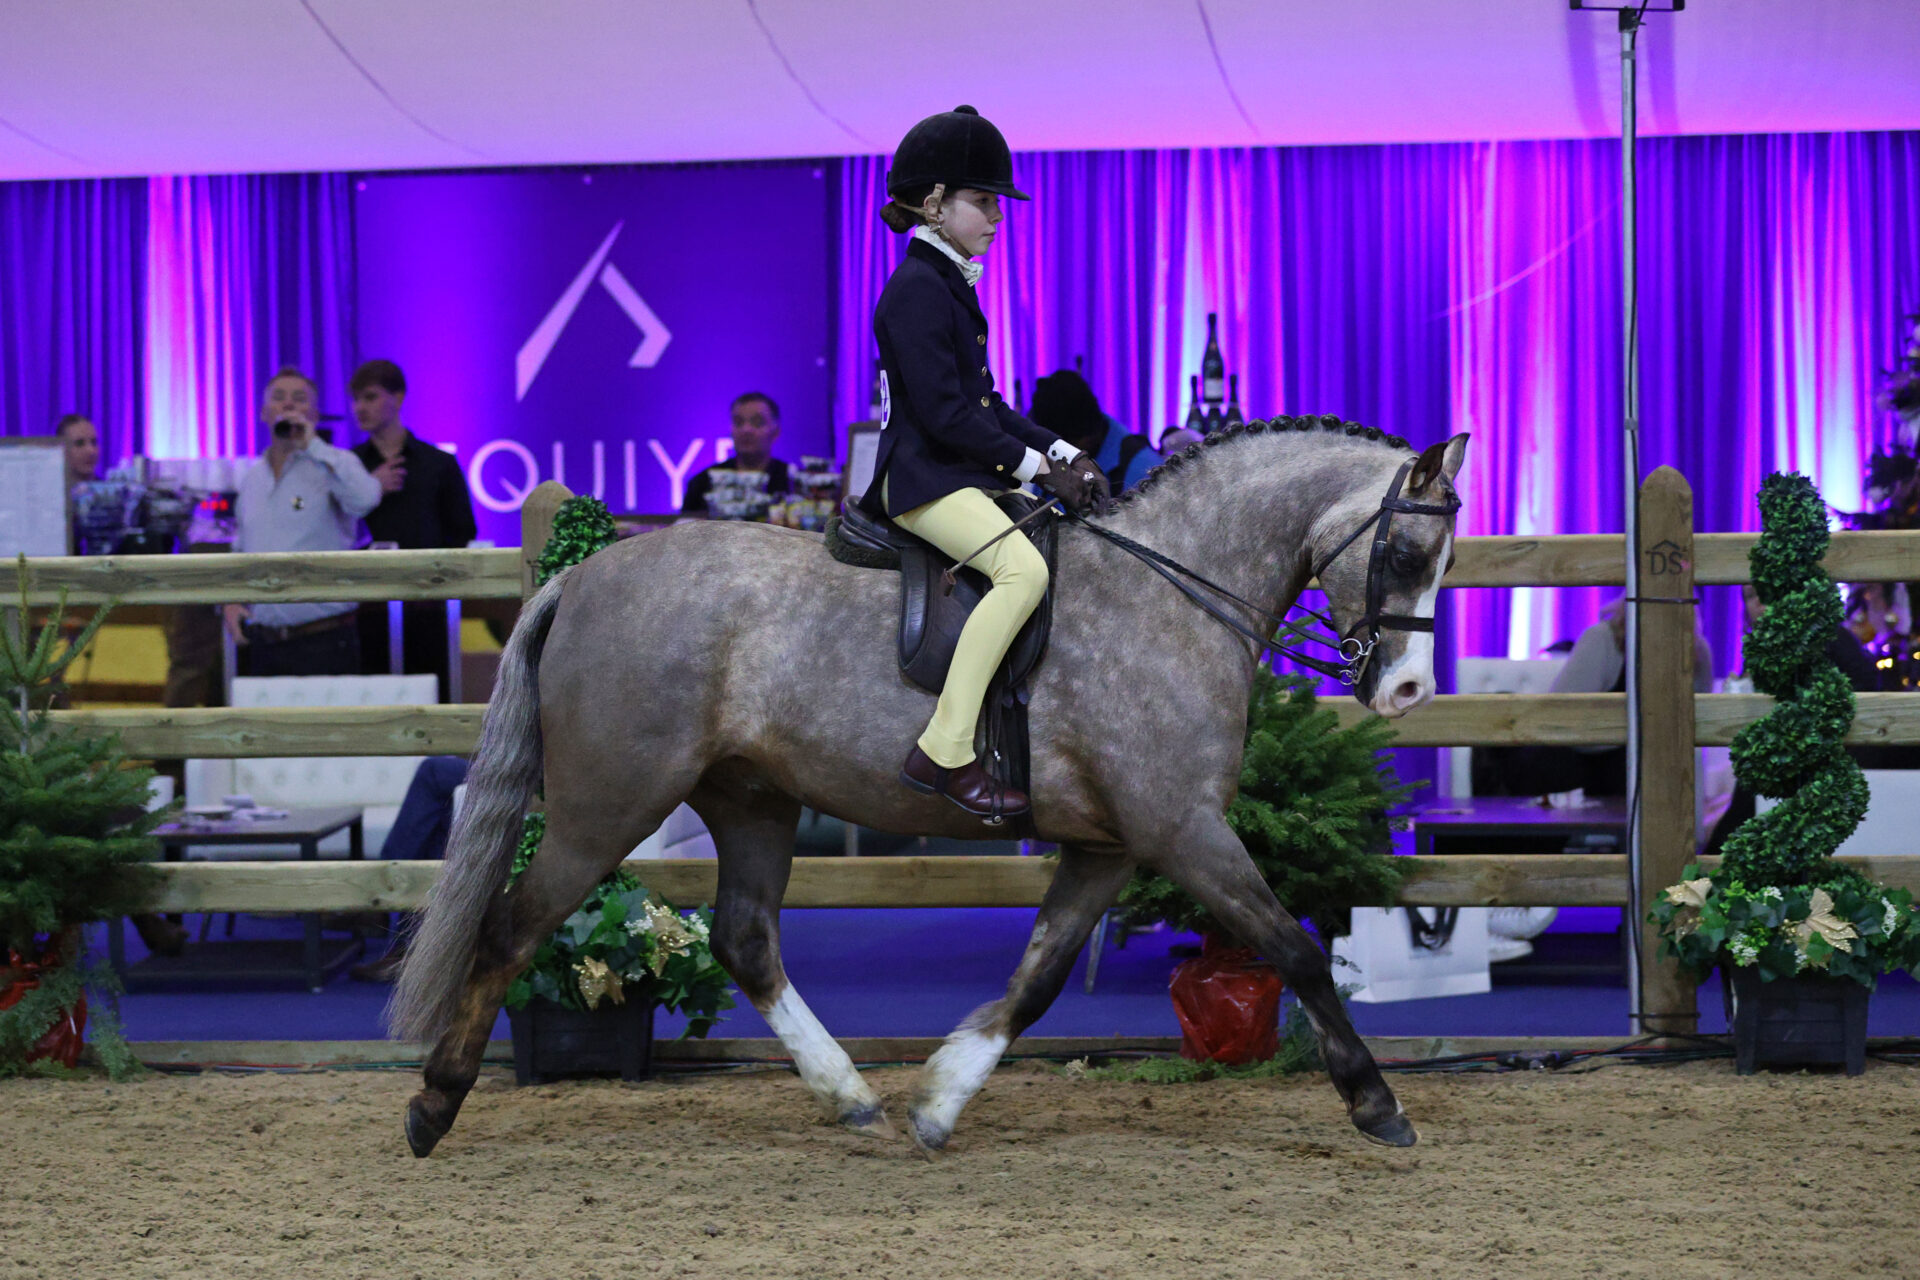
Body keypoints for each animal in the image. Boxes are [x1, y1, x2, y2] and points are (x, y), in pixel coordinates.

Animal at [390, 415, 1468, 1157]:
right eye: (1405, 550)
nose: (1409, 691)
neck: (1172, 590)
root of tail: (581, 578)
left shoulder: (1110, 844)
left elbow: (1038, 979)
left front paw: (941, 1097)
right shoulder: (1183, 829)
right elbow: (1296, 949)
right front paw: (1379, 1104)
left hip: (751, 797)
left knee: (744, 938)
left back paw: (851, 1096)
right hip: (607, 803)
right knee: (510, 929)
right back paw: (432, 1106)